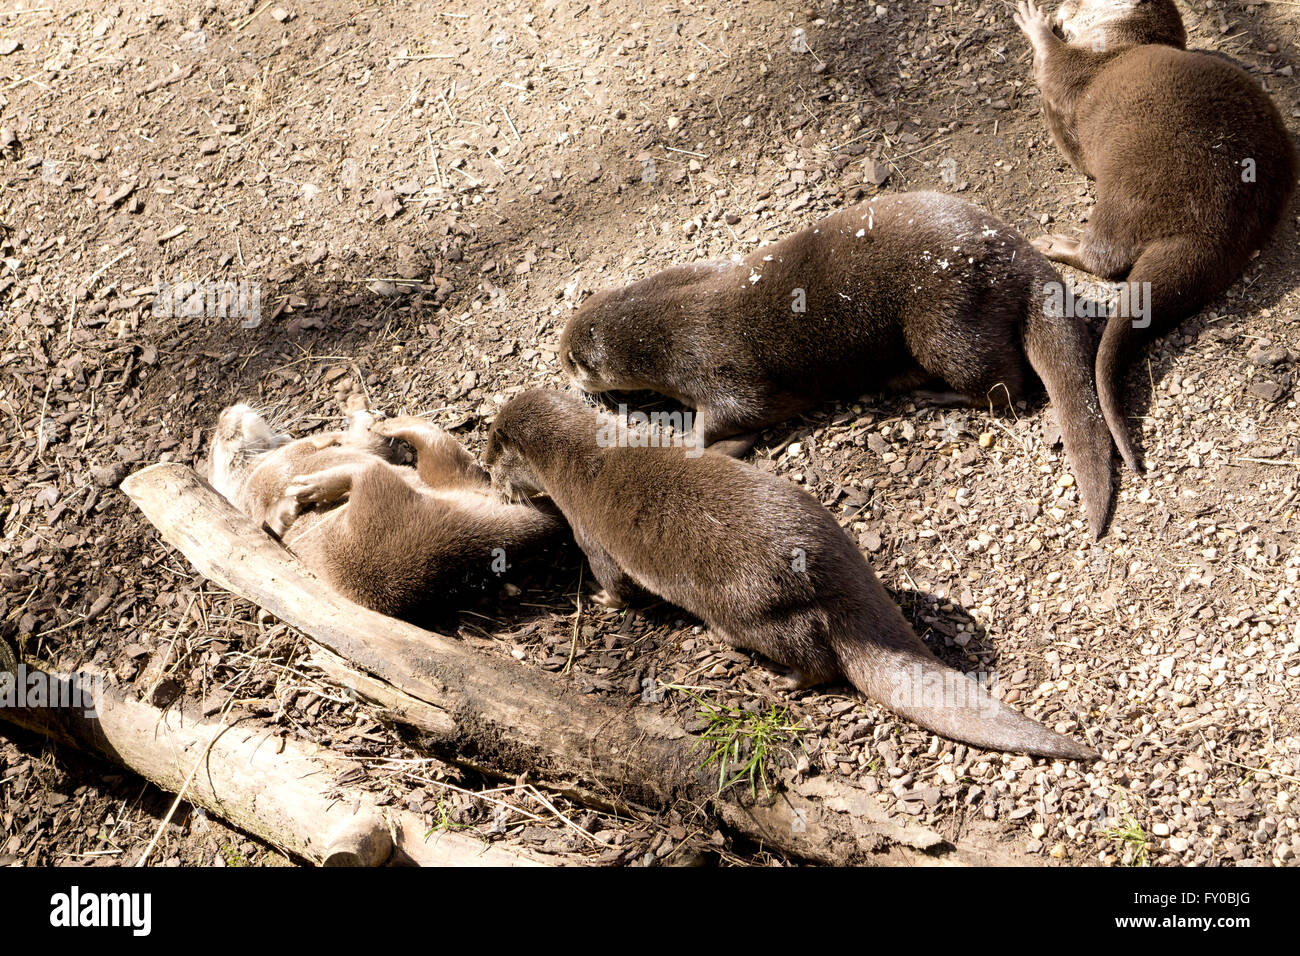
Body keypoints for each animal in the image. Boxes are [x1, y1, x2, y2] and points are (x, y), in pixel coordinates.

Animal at [207, 398, 563, 622]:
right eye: (214, 443)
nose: (224, 412)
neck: (254, 469)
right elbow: (360, 445)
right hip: (407, 489)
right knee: (393, 457)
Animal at [484, 389, 1097, 760]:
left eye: (491, 452)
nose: (489, 473)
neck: (579, 457)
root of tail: (837, 571)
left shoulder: (591, 533)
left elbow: (616, 584)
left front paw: (600, 600)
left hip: (748, 610)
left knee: (814, 658)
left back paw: (780, 681)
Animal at [559, 191, 1119, 537]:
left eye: (572, 360)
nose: (559, 357)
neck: (673, 324)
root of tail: (1017, 254)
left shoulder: (718, 364)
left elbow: (736, 411)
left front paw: (690, 443)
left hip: (943, 316)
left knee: (1004, 386)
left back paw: (931, 394)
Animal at [1014, 0, 1298, 469]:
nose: (1060, 10)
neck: (1119, 44)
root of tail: (1217, 228)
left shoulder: (1081, 69)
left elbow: (1054, 65)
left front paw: (1035, 23)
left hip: (1131, 182)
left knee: (1106, 257)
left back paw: (1055, 242)